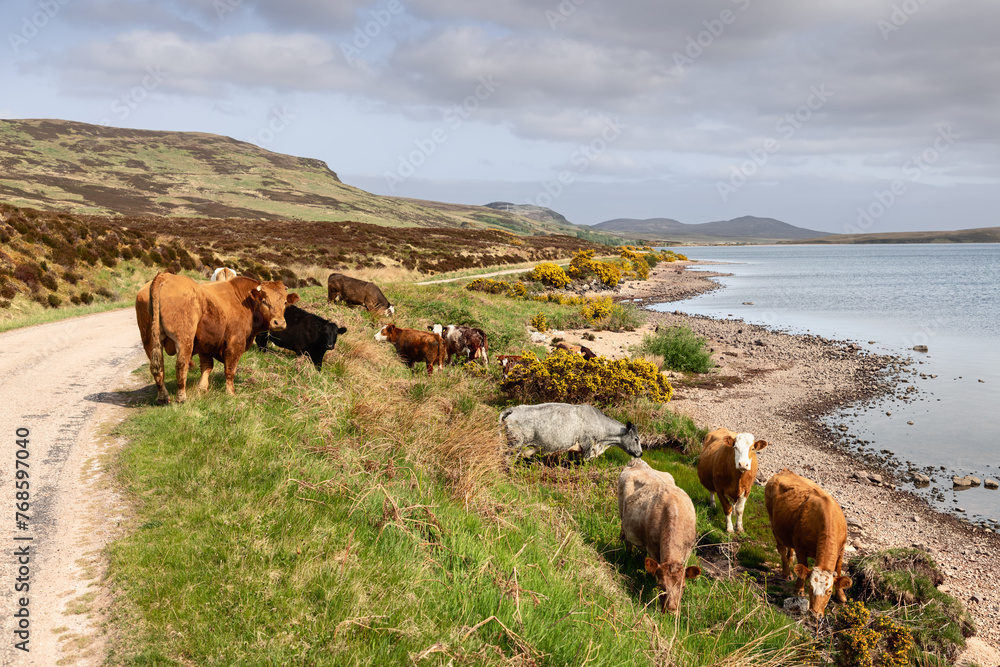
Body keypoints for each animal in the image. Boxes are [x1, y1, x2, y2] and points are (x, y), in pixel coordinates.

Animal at [135, 272, 298, 403]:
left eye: (285, 302)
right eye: (264, 301)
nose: (279, 323)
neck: (244, 301)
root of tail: (165, 276)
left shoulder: (206, 343)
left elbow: (207, 366)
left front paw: (202, 389)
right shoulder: (235, 343)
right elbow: (230, 370)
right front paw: (231, 393)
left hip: (149, 339)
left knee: (157, 367)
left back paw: (163, 397)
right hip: (184, 338)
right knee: (181, 365)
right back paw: (181, 397)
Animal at [499, 403, 641, 460]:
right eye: (636, 439)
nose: (640, 453)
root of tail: (513, 409)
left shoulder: (574, 450)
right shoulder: (587, 448)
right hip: (515, 445)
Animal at [618, 458, 701, 613]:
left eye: (683, 587)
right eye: (661, 586)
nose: (672, 611)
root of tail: (637, 461)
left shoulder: (687, 553)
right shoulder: (653, 549)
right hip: (623, 517)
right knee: (628, 542)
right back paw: (628, 557)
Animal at [764, 468, 852, 617]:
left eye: (829, 591)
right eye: (810, 587)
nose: (814, 613)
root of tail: (785, 471)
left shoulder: (841, 549)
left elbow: (839, 570)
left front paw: (841, 596)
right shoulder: (800, 546)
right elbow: (803, 565)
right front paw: (799, 590)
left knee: (789, 548)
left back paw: (790, 561)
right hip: (773, 521)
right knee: (781, 548)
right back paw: (787, 572)